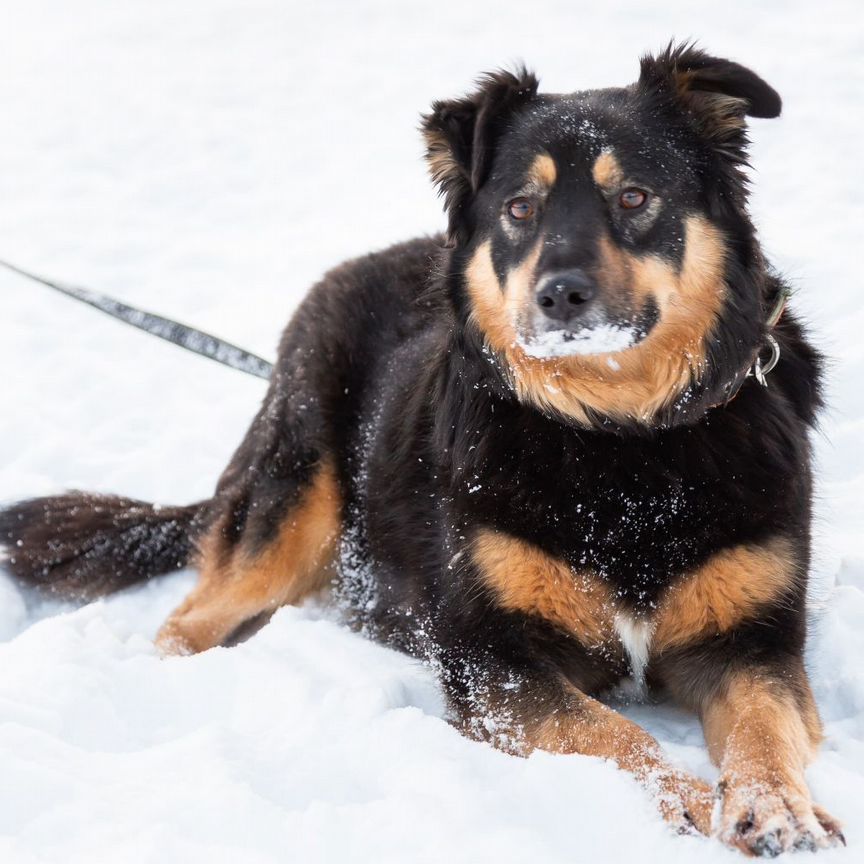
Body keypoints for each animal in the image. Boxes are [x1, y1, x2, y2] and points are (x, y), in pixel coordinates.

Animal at [0, 44, 844, 852]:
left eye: (633, 197)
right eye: (520, 208)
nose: (560, 296)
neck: (619, 438)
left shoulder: (751, 643)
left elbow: (765, 727)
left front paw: (775, 809)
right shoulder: (489, 656)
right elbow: (614, 733)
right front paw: (693, 799)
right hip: (296, 497)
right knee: (189, 619)